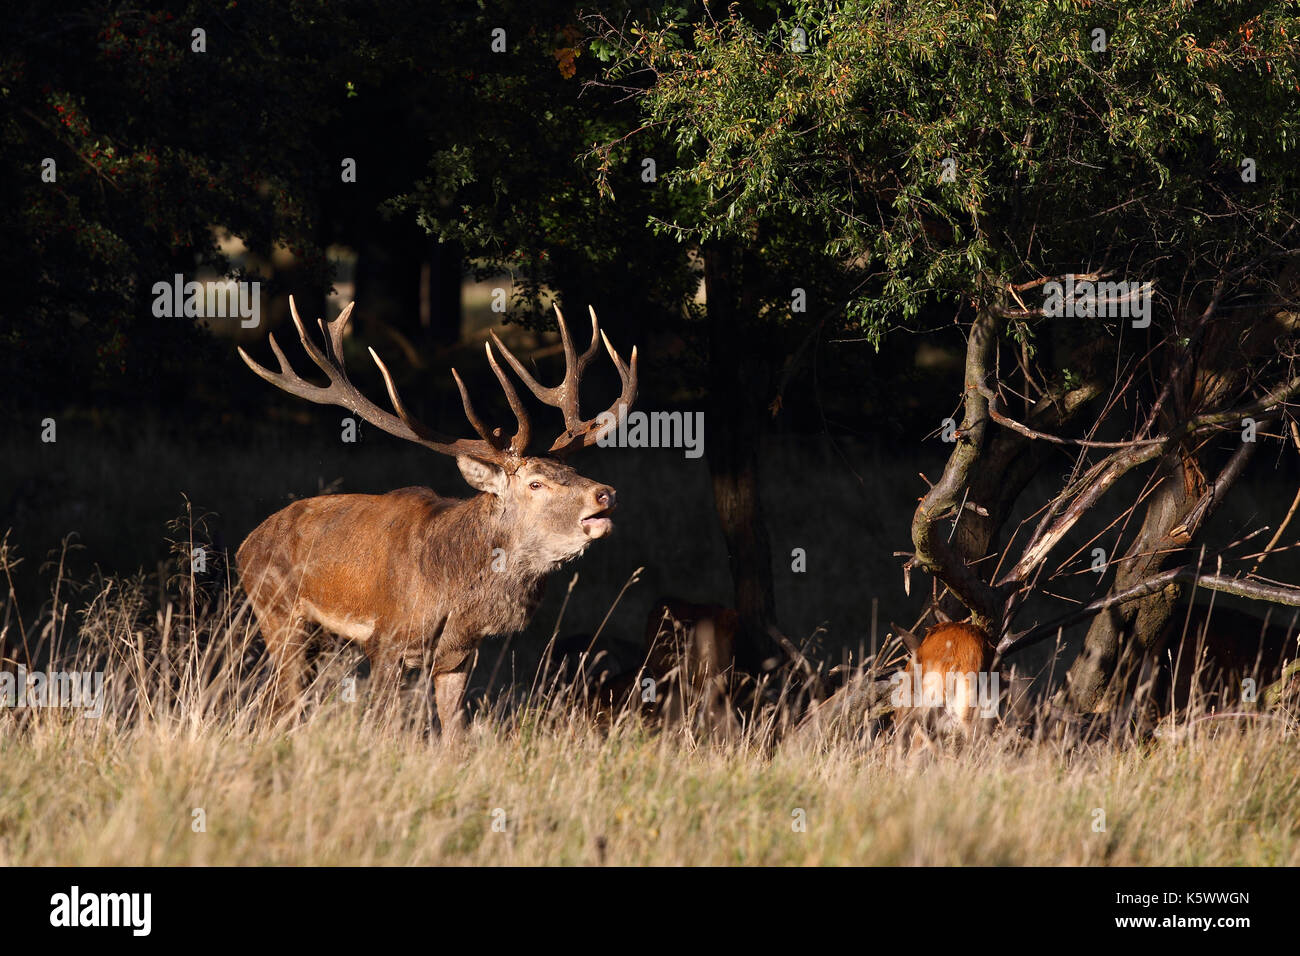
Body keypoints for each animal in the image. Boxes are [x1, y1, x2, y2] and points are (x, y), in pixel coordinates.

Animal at [235, 296, 636, 738]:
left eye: (573, 471)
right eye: (535, 484)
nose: (605, 493)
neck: (452, 590)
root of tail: (245, 544)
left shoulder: (458, 654)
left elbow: (454, 733)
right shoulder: (386, 640)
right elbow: (385, 726)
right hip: (278, 612)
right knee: (282, 701)